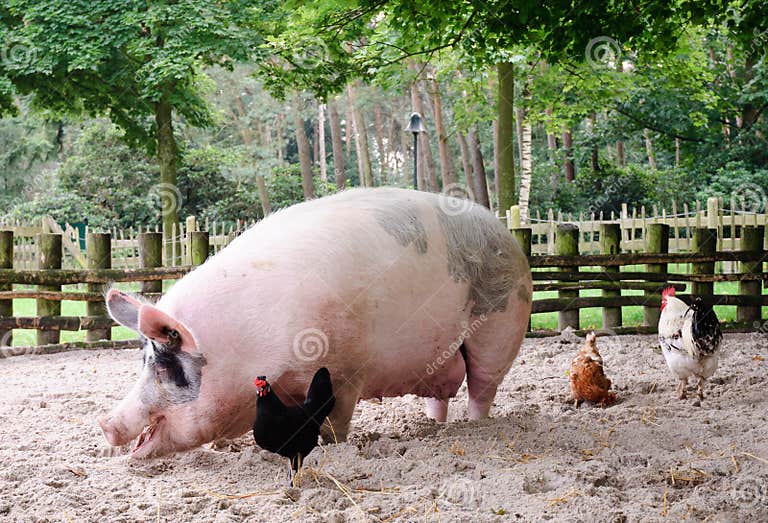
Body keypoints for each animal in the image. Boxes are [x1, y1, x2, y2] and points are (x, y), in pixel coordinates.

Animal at [99, 187, 532, 458]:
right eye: (143, 363)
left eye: (168, 369)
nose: (105, 423)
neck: (242, 347)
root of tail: (508, 237)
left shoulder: (345, 370)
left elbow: (335, 421)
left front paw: (331, 446)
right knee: (439, 394)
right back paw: (433, 428)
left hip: (500, 328)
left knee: (482, 388)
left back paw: (472, 428)